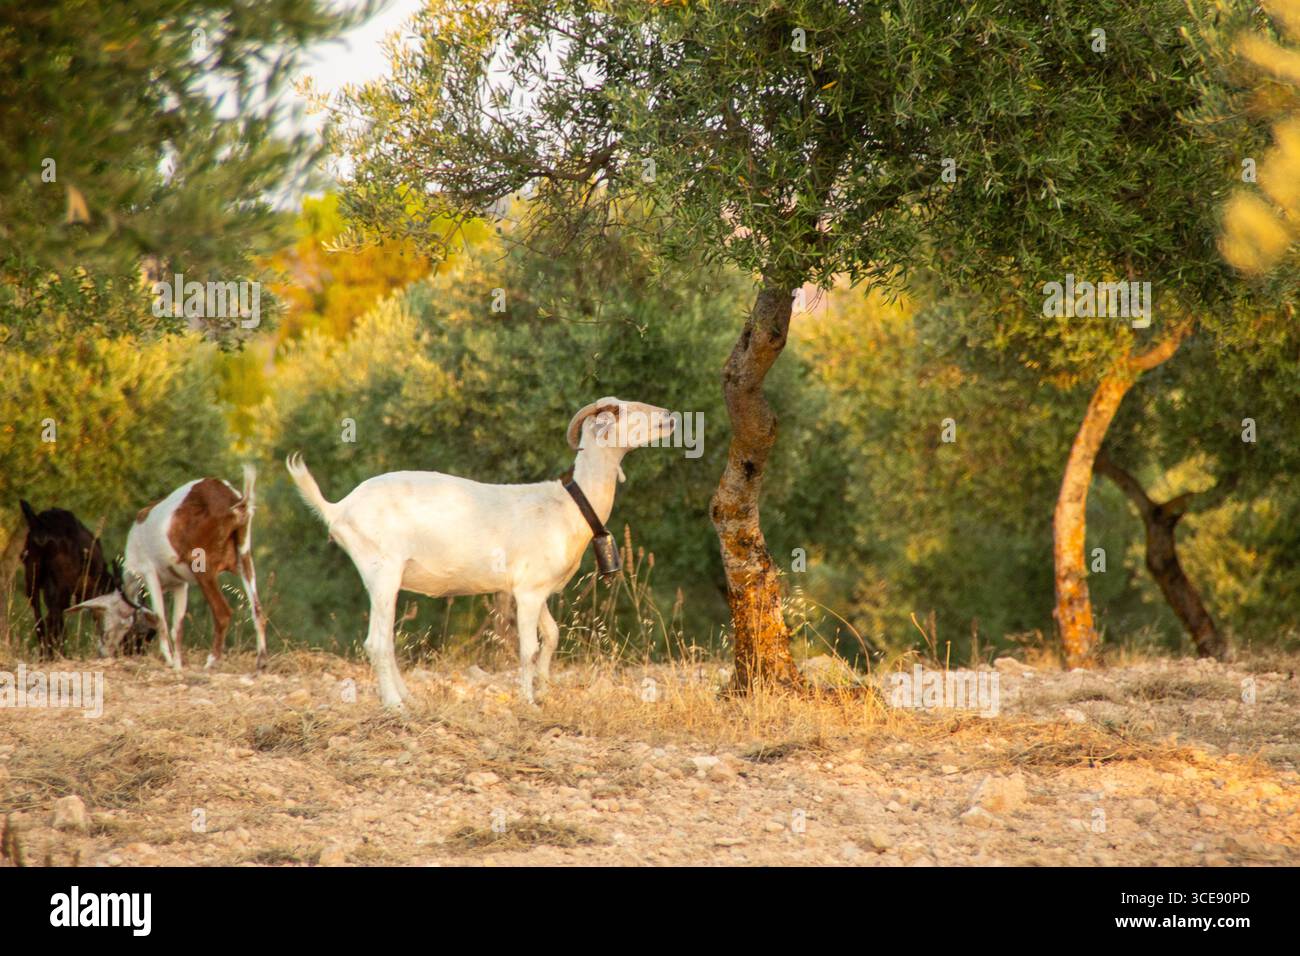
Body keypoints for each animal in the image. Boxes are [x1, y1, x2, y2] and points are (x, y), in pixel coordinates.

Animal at [18, 501, 154, 657]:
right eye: (143, 635)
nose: (139, 652)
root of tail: (40, 525)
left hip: (32, 576)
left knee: (39, 617)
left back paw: (46, 654)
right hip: (61, 586)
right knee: (54, 617)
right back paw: (58, 653)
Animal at [69, 466, 268, 670]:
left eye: (105, 623)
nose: (103, 652)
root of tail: (234, 501)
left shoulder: (149, 574)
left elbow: (160, 619)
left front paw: (171, 661)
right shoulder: (180, 584)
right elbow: (176, 627)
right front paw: (178, 665)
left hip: (204, 570)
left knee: (223, 613)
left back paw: (211, 662)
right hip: (244, 559)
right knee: (258, 611)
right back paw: (261, 662)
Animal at [286, 397, 675, 709]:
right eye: (624, 411)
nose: (671, 417)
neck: (569, 506)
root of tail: (338, 508)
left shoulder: (536, 590)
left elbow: (552, 635)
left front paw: (546, 690)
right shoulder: (528, 592)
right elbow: (529, 648)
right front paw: (528, 701)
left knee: (388, 641)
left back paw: (409, 697)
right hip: (382, 570)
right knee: (376, 642)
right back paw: (395, 705)